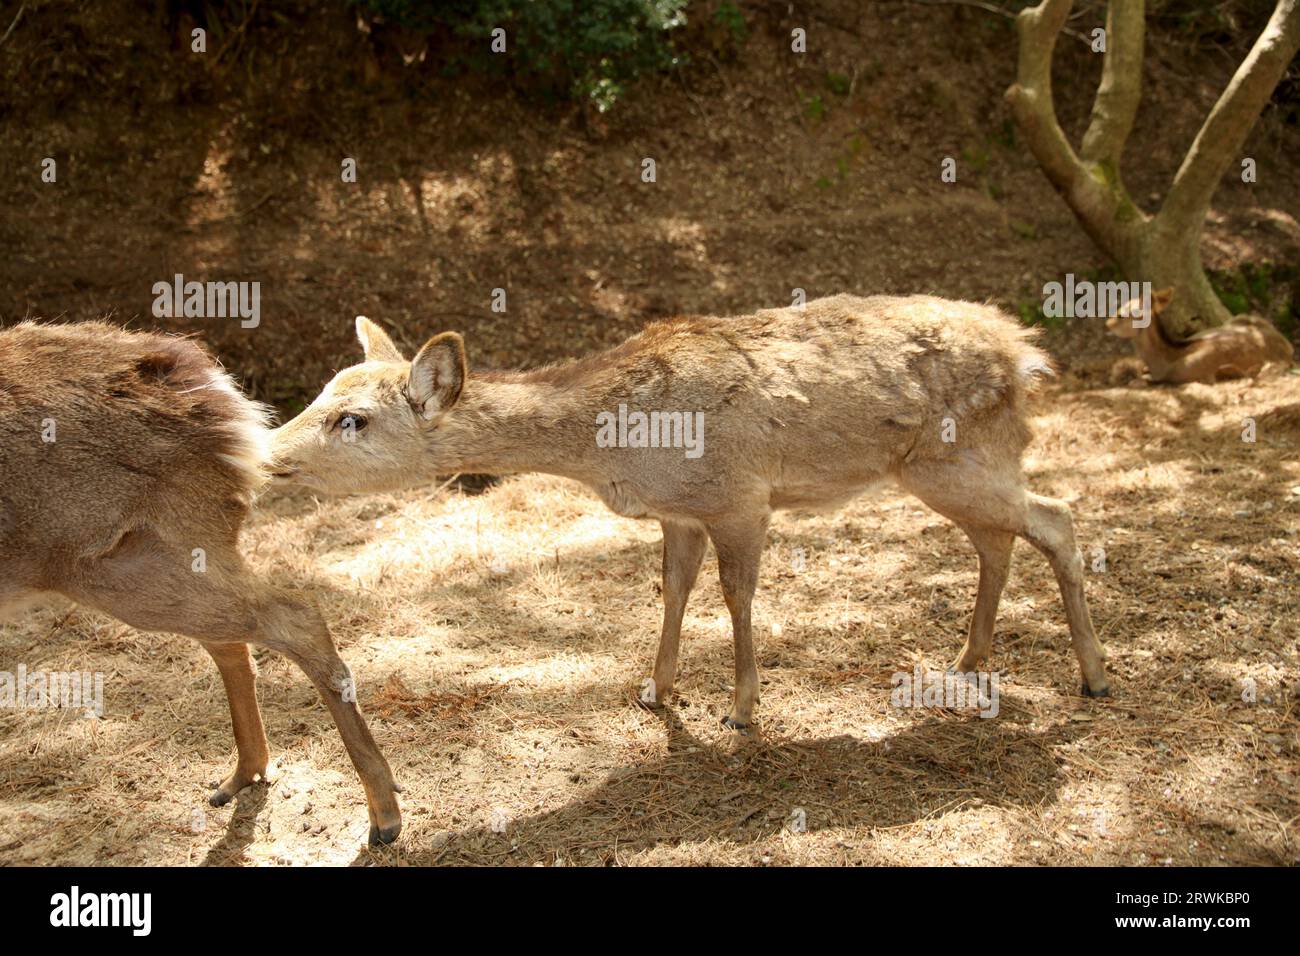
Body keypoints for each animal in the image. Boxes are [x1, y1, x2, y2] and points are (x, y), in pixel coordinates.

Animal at [0, 321, 402, 845]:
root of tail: (225, 402)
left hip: (122, 563)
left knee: (293, 616)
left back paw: (382, 813)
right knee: (232, 637)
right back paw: (243, 774)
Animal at [269, 294, 1113, 731]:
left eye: (352, 420)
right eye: (322, 391)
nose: (268, 446)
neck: (617, 445)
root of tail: (1026, 352)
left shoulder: (740, 495)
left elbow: (737, 594)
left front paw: (742, 708)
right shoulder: (678, 513)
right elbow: (673, 589)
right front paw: (658, 691)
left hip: (963, 457)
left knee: (1058, 517)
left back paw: (1096, 677)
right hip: (949, 470)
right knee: (999, 540)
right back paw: (968, 662)